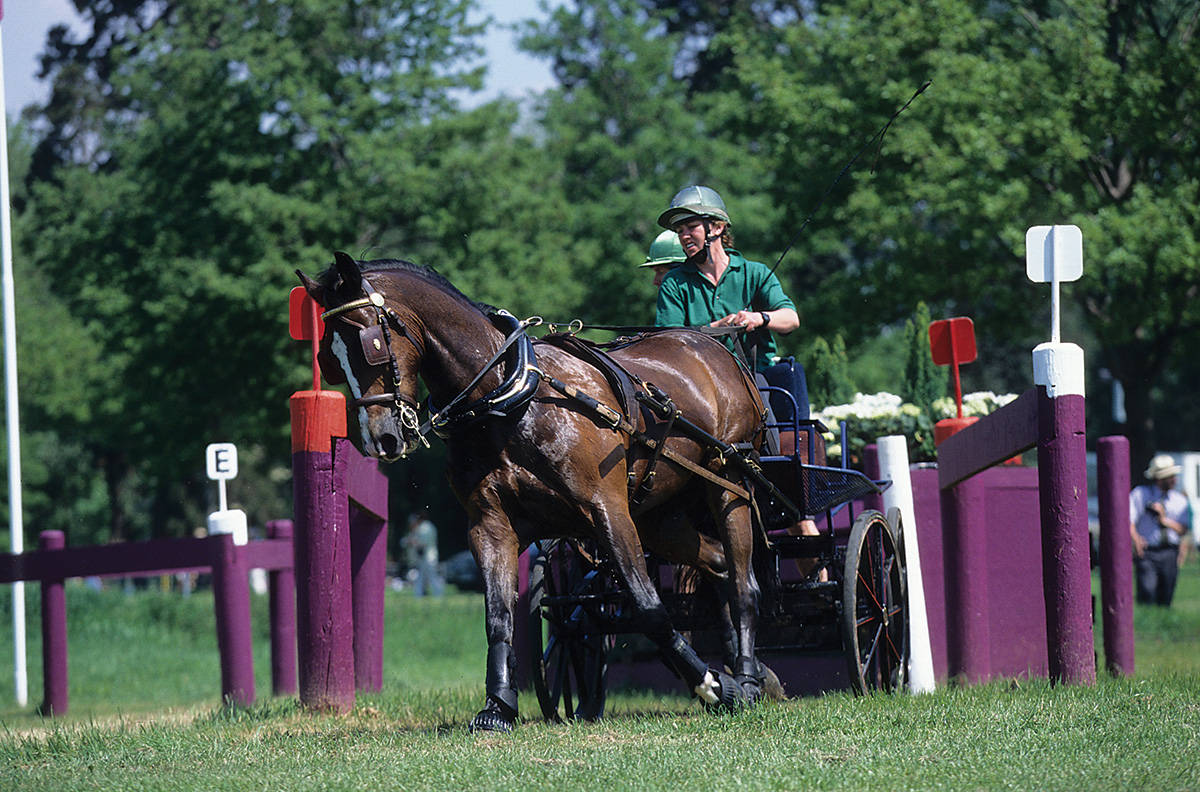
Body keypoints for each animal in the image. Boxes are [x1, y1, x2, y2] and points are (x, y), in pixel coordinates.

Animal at [298, 252, 770, 732]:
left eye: (370, 342)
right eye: (328, 357)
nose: (381, 439)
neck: (507, 400)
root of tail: (713, 347)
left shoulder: (607, 510)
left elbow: (649, 606)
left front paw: (712, 685)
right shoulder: (490, 526)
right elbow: (499, 618)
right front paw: (498, 705)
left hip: (729, 484)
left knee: (744, 584)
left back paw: (747, 680)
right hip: (660, 518)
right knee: (718, 564)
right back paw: (738, 666)